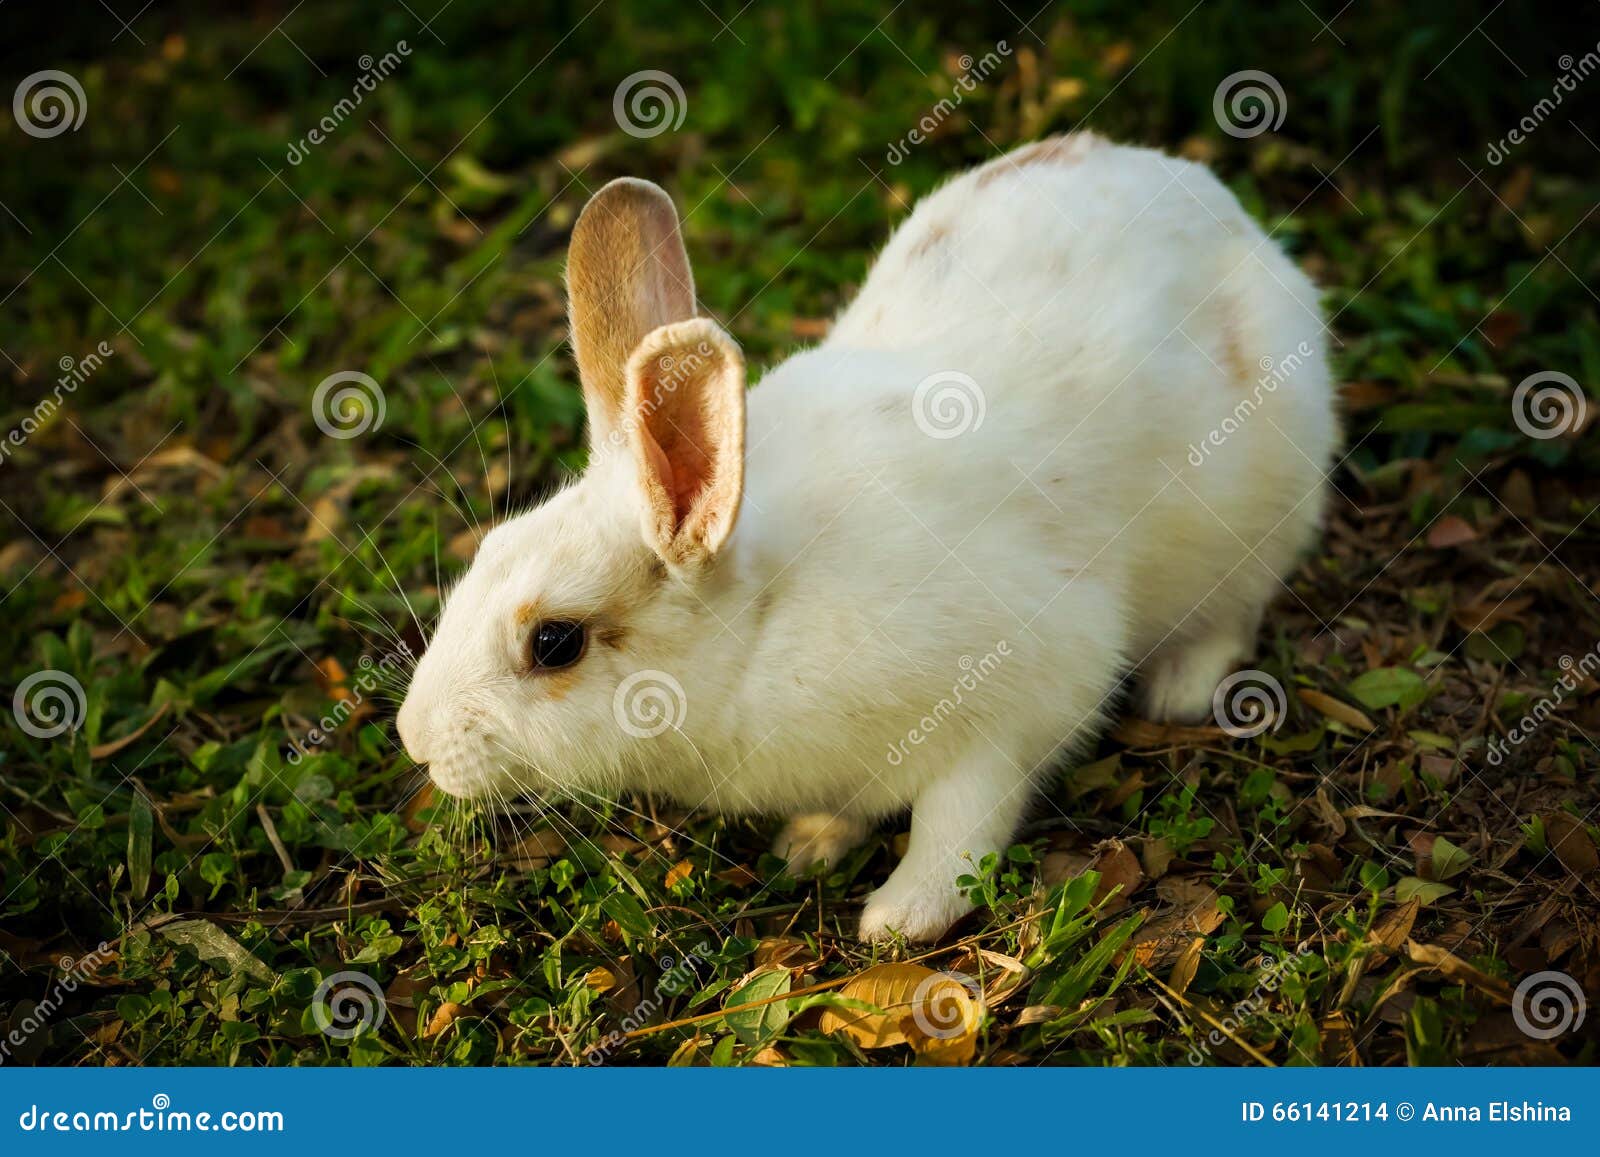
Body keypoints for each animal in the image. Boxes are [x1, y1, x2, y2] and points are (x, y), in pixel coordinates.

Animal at [396, 132, 1338, 942]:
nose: (414, 739)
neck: (762, 629)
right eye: (485, 550)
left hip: (1261, 513)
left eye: (555, 642)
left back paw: (1181, 687)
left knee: (1236, 606)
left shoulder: (1019, 700)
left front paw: (900, 916)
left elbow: (963, 820)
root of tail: (1216, 203)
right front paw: (811, 841)